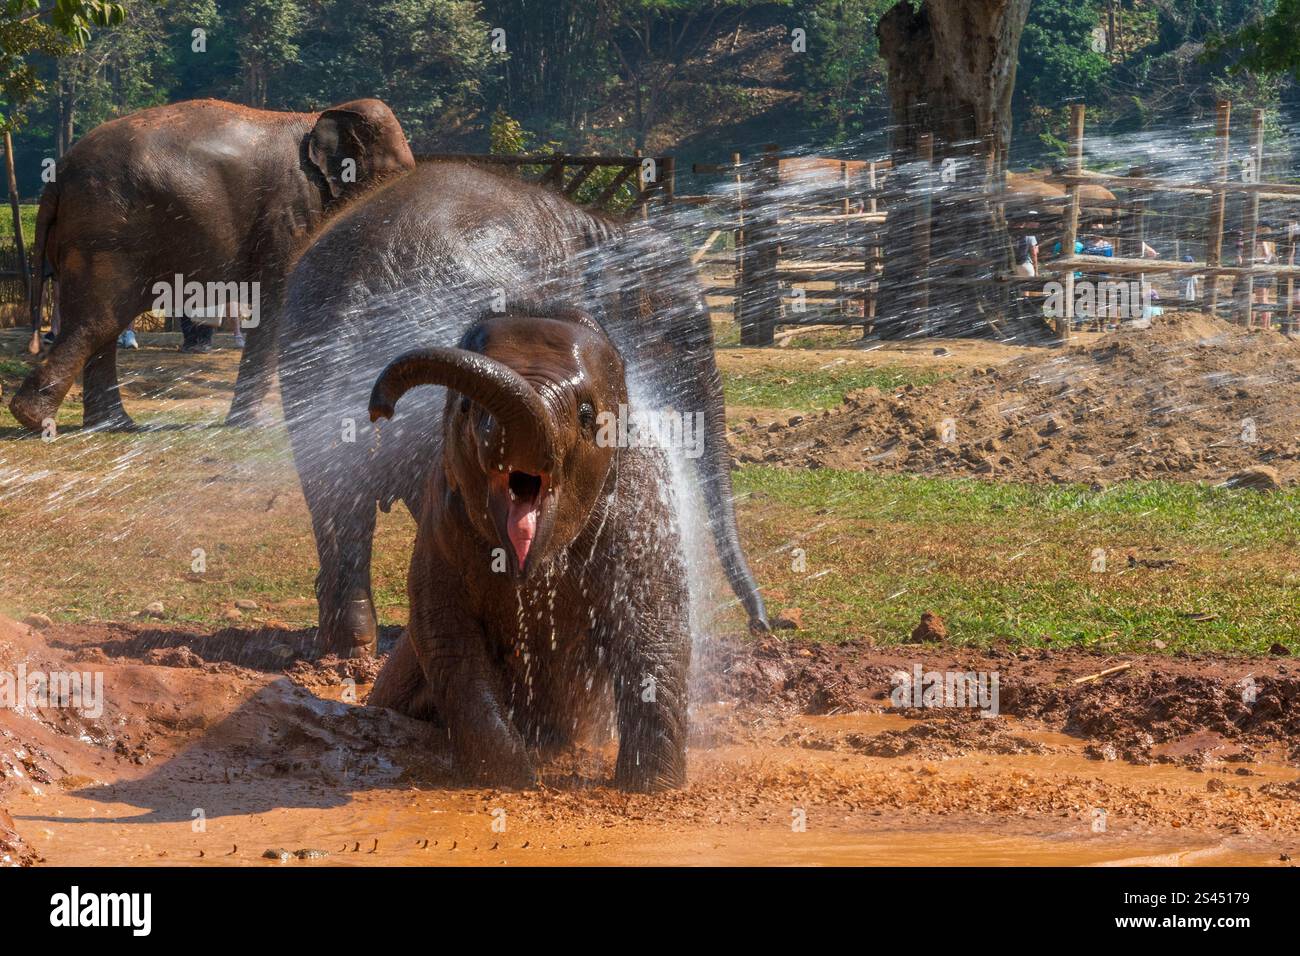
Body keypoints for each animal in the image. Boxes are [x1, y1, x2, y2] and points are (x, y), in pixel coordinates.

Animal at [8, 97, 415, 433]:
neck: (319, 116)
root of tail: (57, 176)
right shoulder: (290, 214)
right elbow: (282, 304)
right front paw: (258, 427)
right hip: (105, 234)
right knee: (98, 320)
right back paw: (34, 419)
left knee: (104, 323)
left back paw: (113, 425)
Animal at [276, 160, 767, 658]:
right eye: (683, 341)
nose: (763, 626)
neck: (607, 230)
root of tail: (356, 288)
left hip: (307, 367)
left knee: (336, 493)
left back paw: (347, 648)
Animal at [365, 309, 690, 790]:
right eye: (465, 408)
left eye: (587, 415)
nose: (379, 410)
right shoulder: (439, 518)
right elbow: (444, 631)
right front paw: (511, 781)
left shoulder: (643, 501)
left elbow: (655, 627)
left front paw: (649, 790)